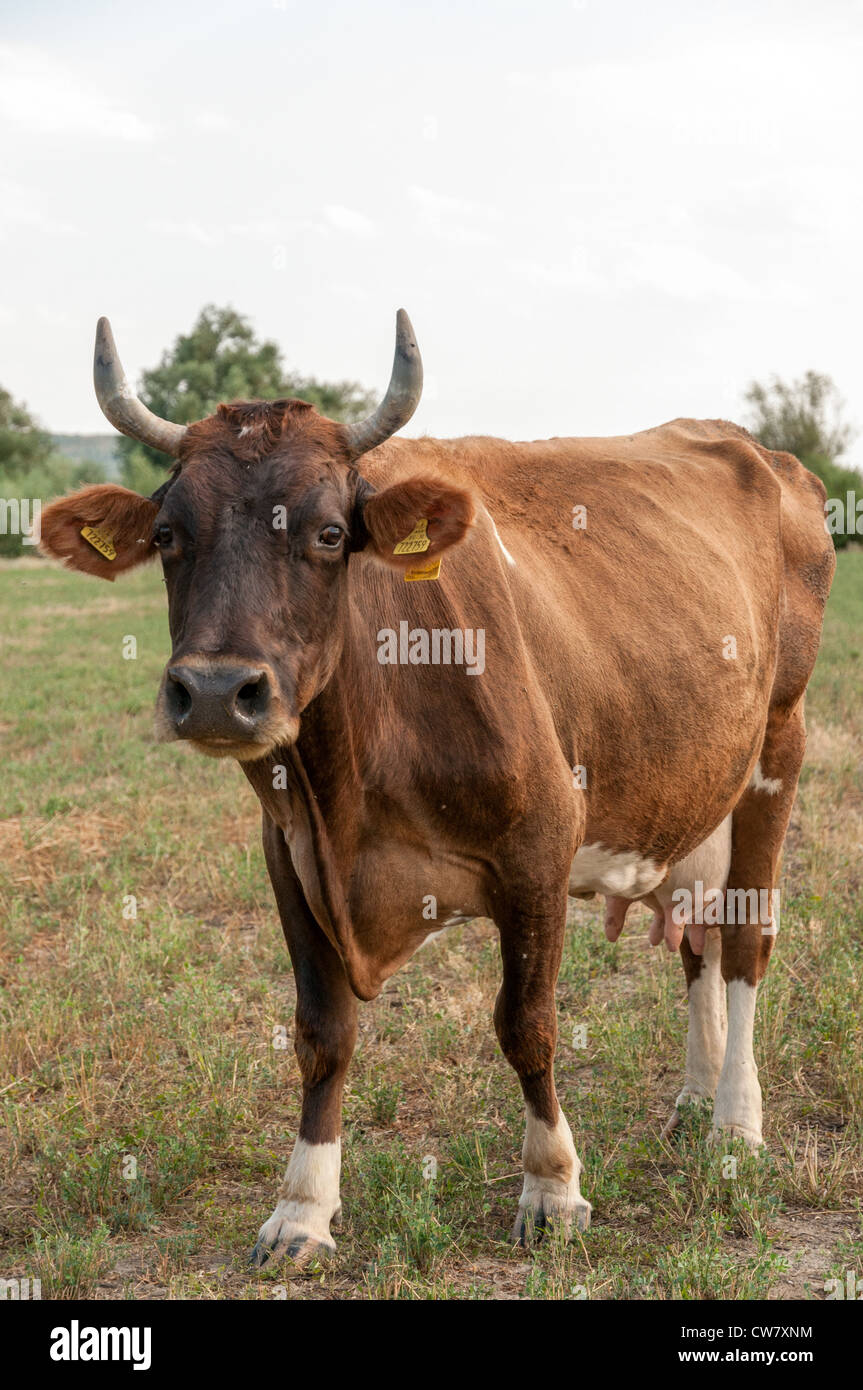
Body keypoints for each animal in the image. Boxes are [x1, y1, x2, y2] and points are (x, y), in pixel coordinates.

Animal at [39, 312, 835, 1265]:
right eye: (166, 535)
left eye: (328, 534)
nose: (217, 690)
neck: (349, 790)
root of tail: (758, 451)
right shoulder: (290, 856)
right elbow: (322, 1034)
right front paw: (302, 1208)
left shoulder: (540, 845)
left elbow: (526, 1025)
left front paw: (552, 1188)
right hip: (688, 787)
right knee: (697, 944)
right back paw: (691, 1098)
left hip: (776, 746)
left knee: (745, 941)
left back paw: (734, 1126)